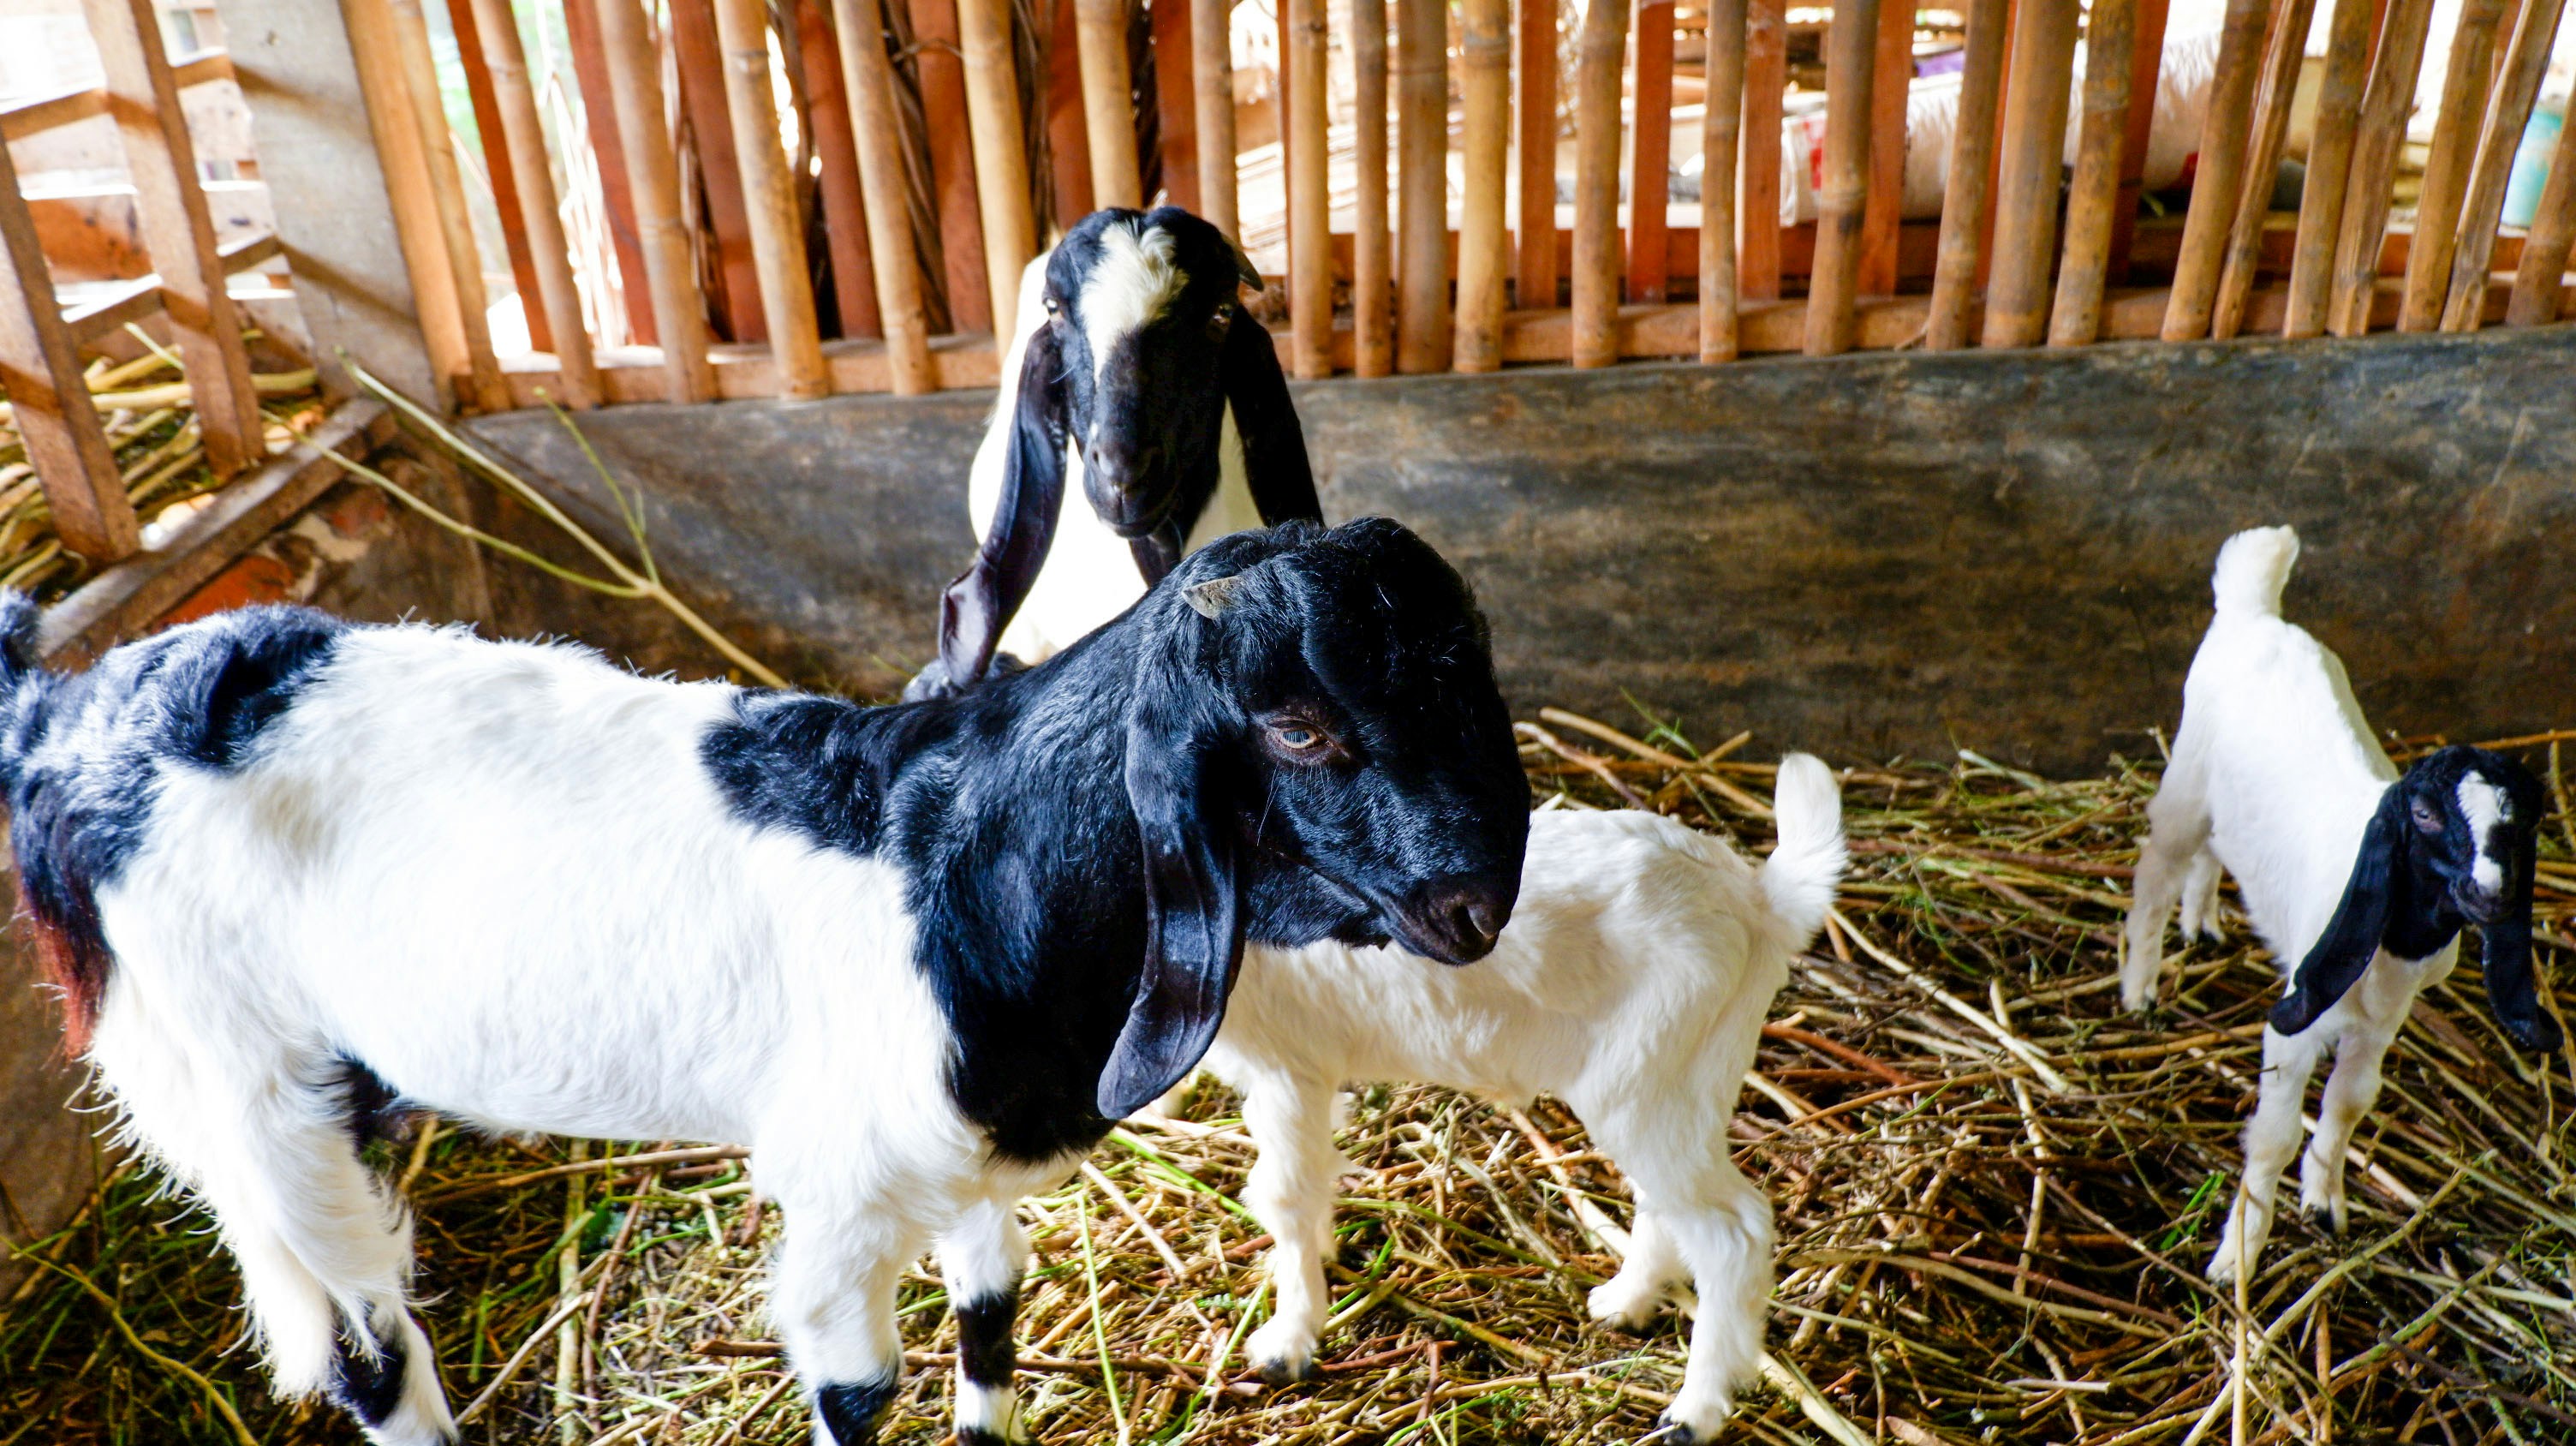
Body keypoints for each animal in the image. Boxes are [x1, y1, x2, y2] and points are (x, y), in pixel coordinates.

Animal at [0, 517, 1530, 1446]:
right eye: (1298, 726)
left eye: (1473, 678)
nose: (1477, 904)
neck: (957, 870)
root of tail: (70, 712)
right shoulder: (842, 1201)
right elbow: (859, 1390)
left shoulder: (963, 1166)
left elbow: (991, 1323)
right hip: (242, 1087)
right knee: (364, 1345)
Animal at [1196, 755, 1847, 1443]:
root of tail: (1759, 901)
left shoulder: (1288, 1067)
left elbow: (1282, 1195)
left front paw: (1285, 1344)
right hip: (1684, 1078)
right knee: (1670, 1202)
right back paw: (1624, 1303)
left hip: (1650, 1080)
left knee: (1731, 1233)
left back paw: (1692, 1413)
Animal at [2123, 525, 2560, 1286]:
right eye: (2423, 814)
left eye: (2523, 822)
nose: (2489, 894)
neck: (2398, 943)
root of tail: (2255, 608)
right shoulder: (2298, 1020)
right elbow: (2271, 1135)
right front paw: (2239, 1257)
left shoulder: (2382, 1022)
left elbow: (2352, 1103)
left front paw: (2325, 1205)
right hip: (2186, 778)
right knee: (2156, 872)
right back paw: (2139, 988)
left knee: (2213, 853)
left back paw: (2202, 923)